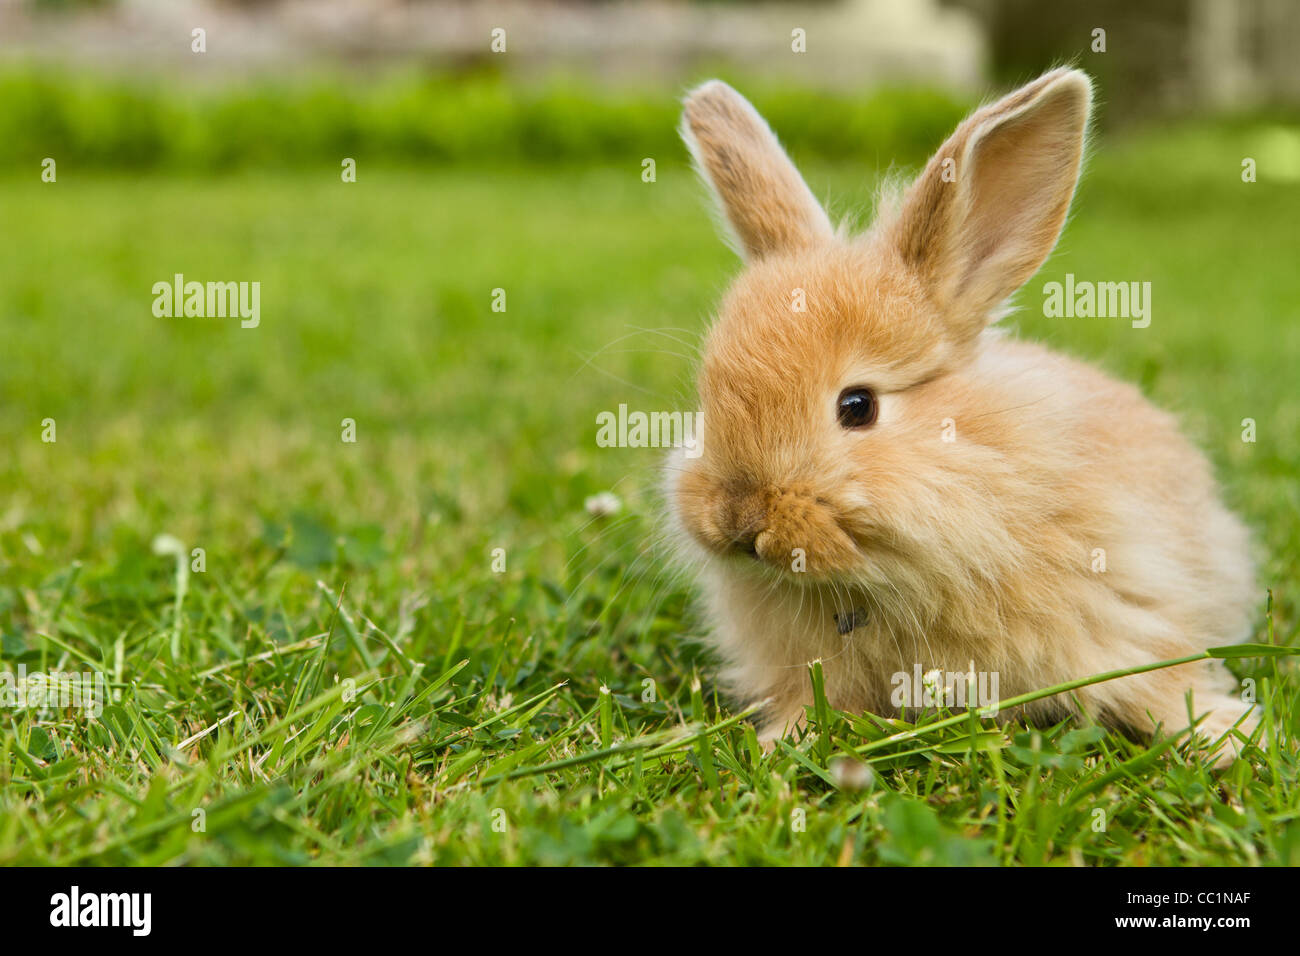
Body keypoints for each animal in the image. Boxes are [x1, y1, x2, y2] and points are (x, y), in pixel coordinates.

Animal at [665, 68, 1259, 766]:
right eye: (706, 401)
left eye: (857, 406)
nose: (737, 517)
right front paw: (777, 743)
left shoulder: (1134, 607)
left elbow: (1162, 682)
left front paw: (1232, 734)